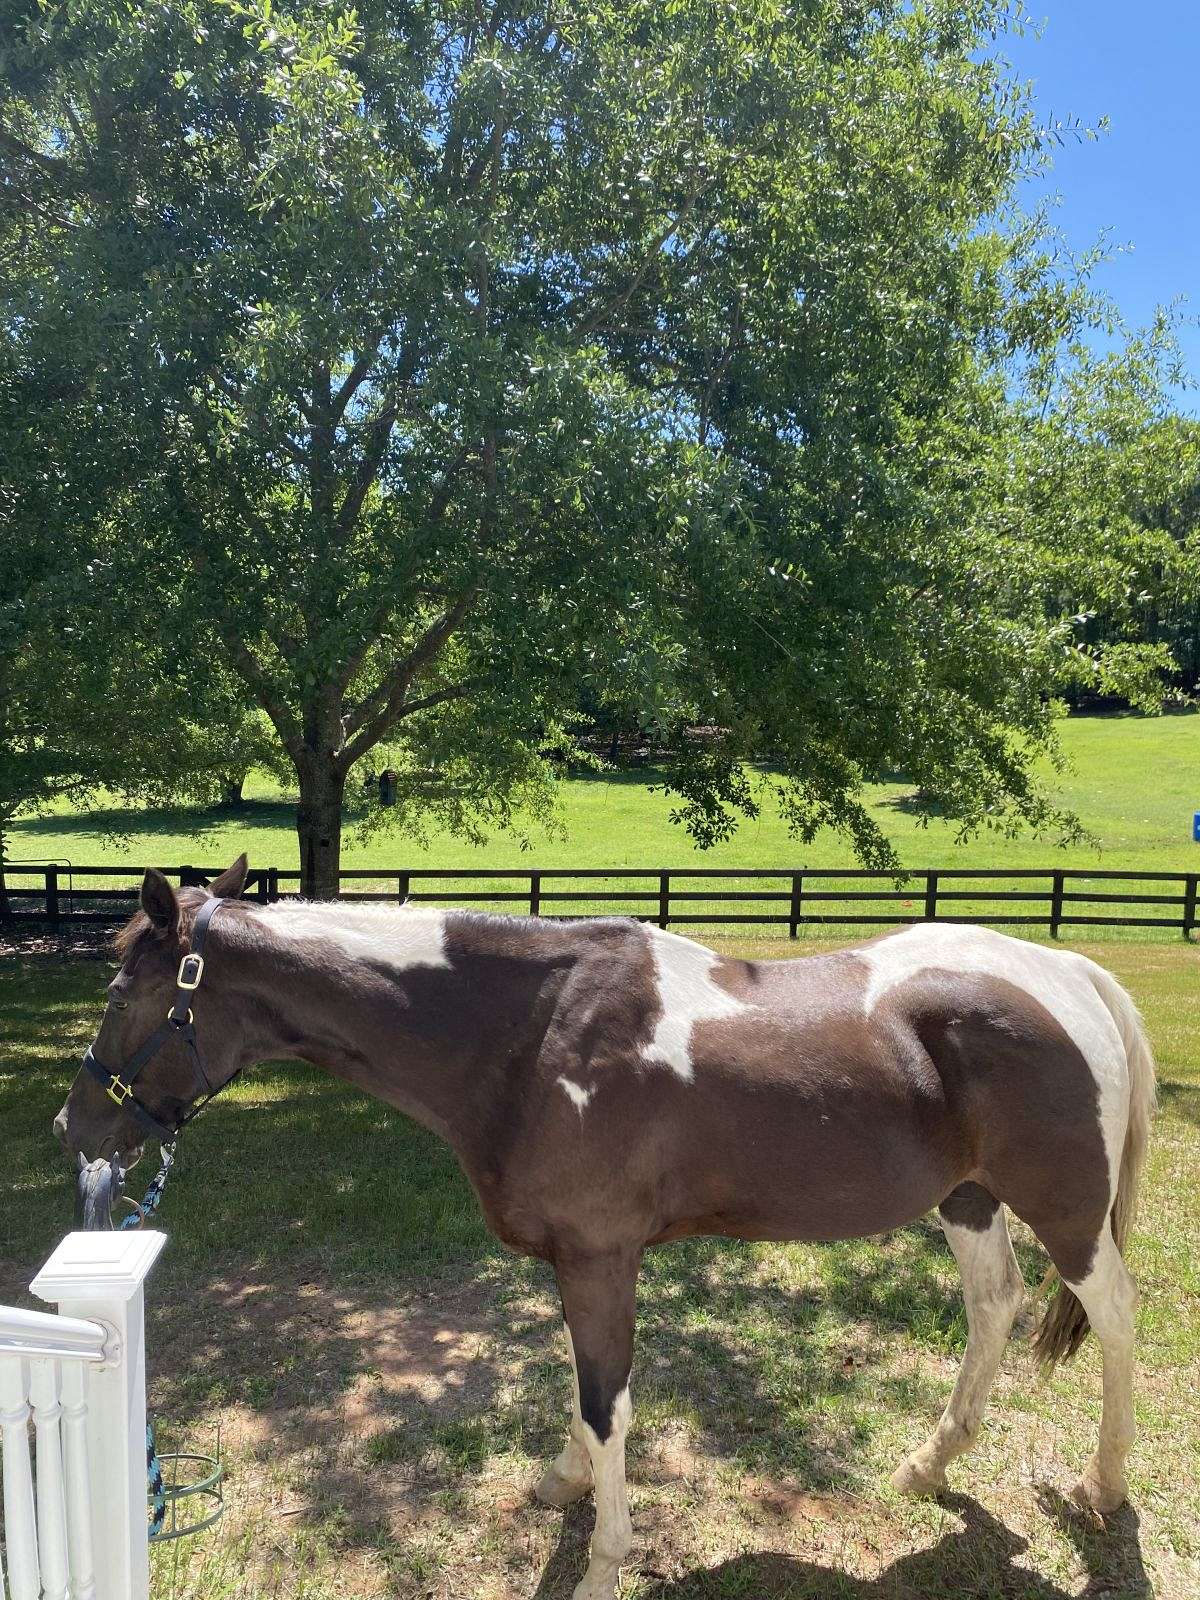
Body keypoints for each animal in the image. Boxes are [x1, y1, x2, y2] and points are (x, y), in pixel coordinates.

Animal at [54, 855, 1155, 1600]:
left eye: (123, 991)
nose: (75, 1127)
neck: (529, 1034)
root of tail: (1067, 971)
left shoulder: (600, 1256)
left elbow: (606, 1402)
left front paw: (603, 1561)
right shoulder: (572, 1261)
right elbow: (578, 1386)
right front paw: (565, 1485)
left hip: (1066, 1215)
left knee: (1115, 1318)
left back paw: (1104, 1486)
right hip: (966, 1199)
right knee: (994, 1305)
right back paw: (930, 1464)